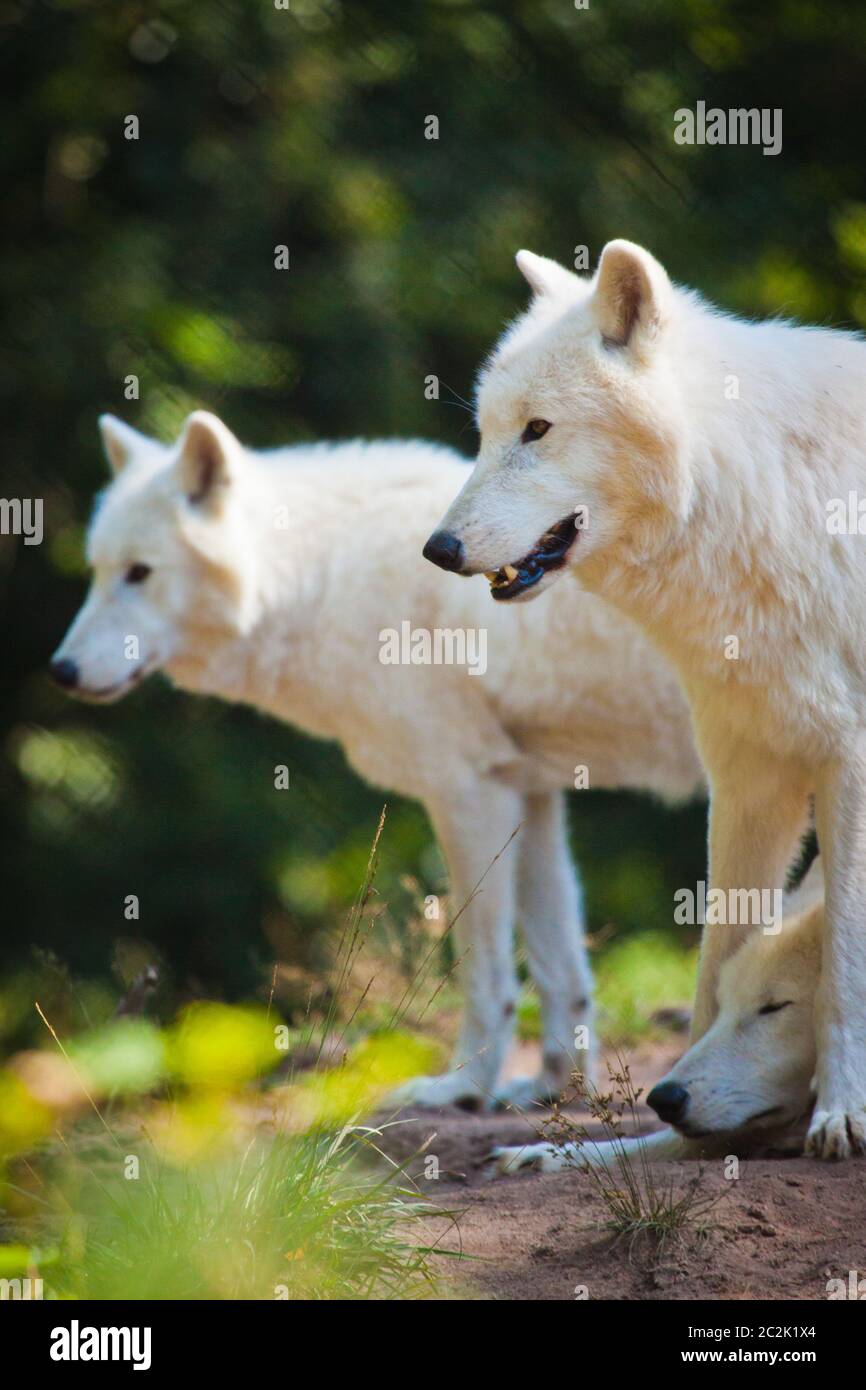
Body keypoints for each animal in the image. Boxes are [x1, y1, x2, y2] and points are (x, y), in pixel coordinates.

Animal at [51, 412, 702, 1110]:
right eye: (98, 572)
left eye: (139, 573)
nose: (61, 671)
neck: (321, 580)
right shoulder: (530, 793)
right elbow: (562, 971)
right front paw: (553, 1092)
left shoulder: (468, 795)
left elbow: (487, 972)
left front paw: (461, 1090)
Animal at [425, 238, 866, 1156]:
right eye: (485, 434)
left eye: (538, 429)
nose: (438, 548)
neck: (766, 500)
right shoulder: (748, 775)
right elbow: (717, 960)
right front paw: (672, 1131)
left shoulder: (850, 765)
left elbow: (845, 960)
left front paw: (842, 1113)